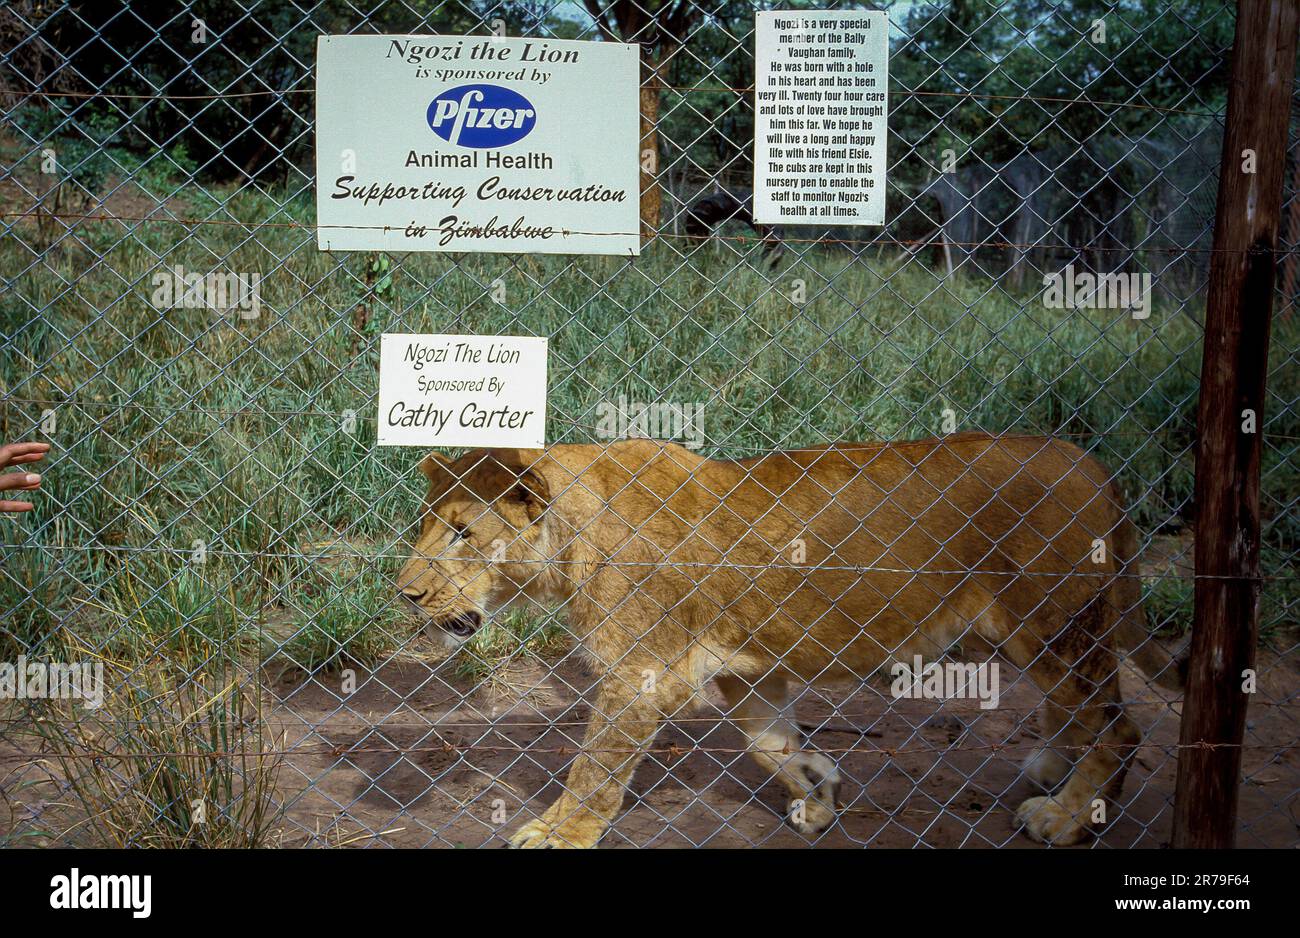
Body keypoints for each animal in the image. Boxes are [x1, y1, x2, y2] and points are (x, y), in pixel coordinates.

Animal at [396, 433, 1183, 848]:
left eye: (462, 534)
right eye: (426, 525)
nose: (404, 593)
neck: (571, 540)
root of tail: (1096, 466)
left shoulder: (642, 674)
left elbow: (596, 768)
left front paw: (558, 832)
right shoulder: (746, 668)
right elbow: (767, 743)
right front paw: (819, 788)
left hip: (1049, 625)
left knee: (1119, 724)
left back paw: (1069, 814)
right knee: (1083, 709)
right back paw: (1057, 772)